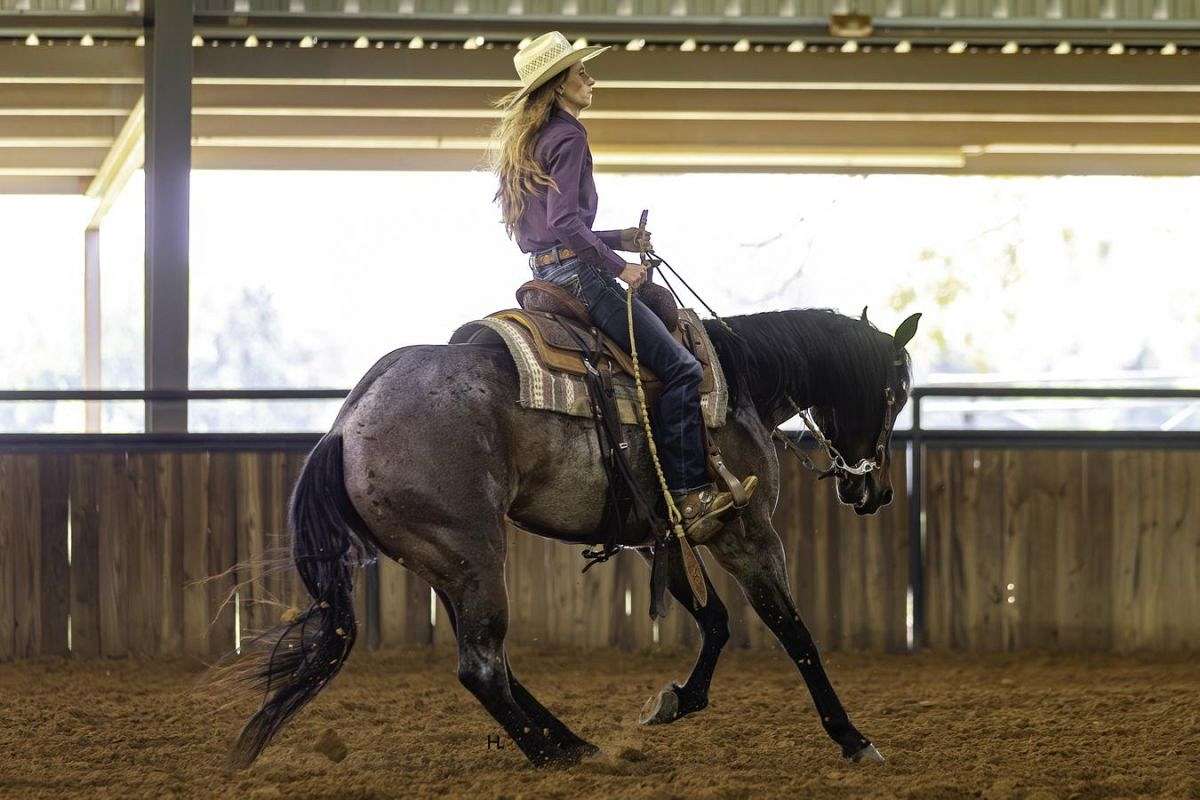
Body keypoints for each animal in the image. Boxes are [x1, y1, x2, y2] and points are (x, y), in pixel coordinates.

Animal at [227, 305, 919, 770]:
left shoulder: (661, 537)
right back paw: (551, 754)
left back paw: (572, 741)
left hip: (444, 565)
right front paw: (853, 739)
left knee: (494, 663)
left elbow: (717, 622)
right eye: (896, 393)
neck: (738, 380)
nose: (875, 491)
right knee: (482, 666)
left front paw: (677, 701)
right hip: (475, 556)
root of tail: (347, 423)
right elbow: (793, 631)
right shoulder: (747, 533)